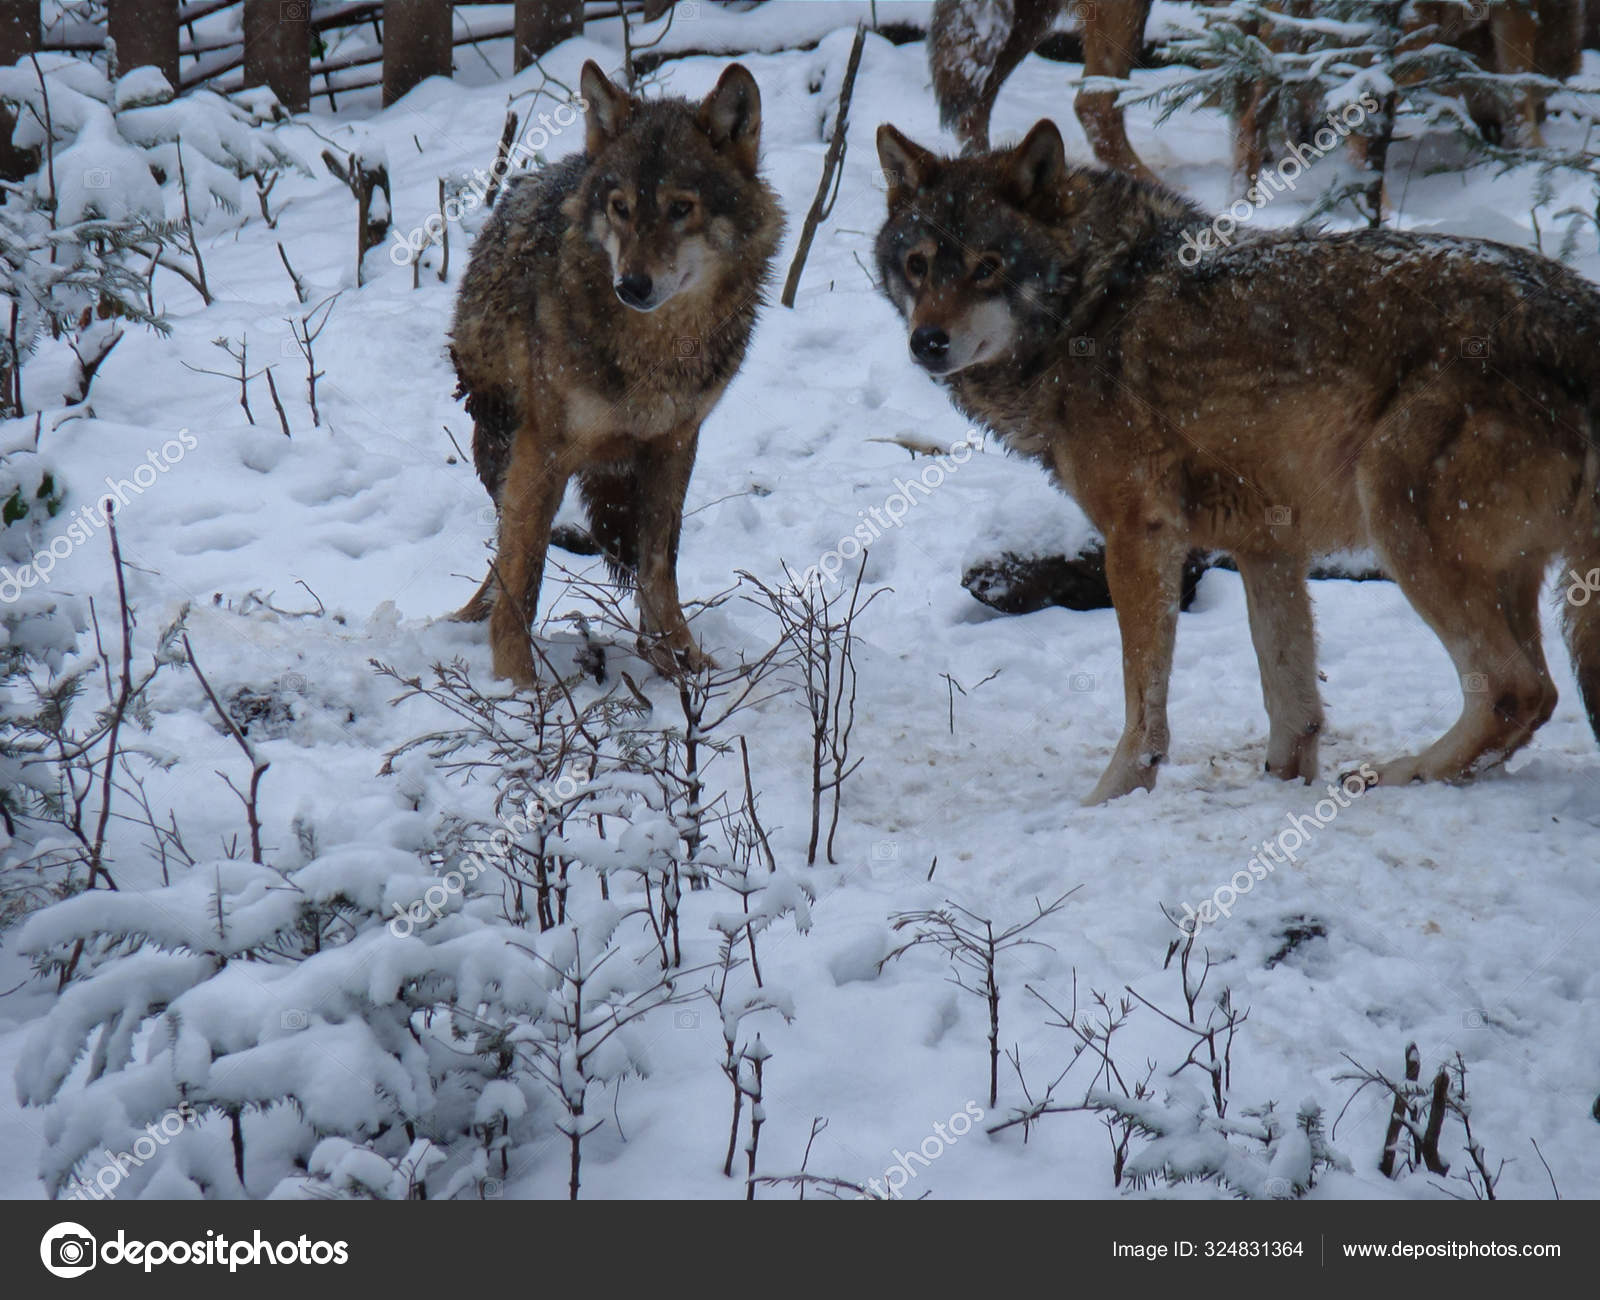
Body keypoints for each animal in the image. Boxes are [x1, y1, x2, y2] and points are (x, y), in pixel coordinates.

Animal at [449, 61, 783, 684]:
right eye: (621, 207)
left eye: (681, 208)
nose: (632, 285)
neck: (655, 351)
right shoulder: (543, 449)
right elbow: (522, 578)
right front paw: (517, 682)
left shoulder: (675, 444)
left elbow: (658, 572)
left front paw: (680, 664)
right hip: (503, 442)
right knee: (504, 556)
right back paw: (464, 623)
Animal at [874, 119, 1600, 803]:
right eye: (918, 265)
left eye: (988, 266)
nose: (926, 341)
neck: (1091, 304)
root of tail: (1577, 314)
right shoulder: (1267, 545)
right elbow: (1293, 705)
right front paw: (1281, 786)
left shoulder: (1140, 536)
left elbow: (1145, 707)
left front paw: (1112, 798)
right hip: (1503, 568)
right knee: (1538, 692)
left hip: (1401, 525)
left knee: (1514, 689)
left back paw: (1400, 776)